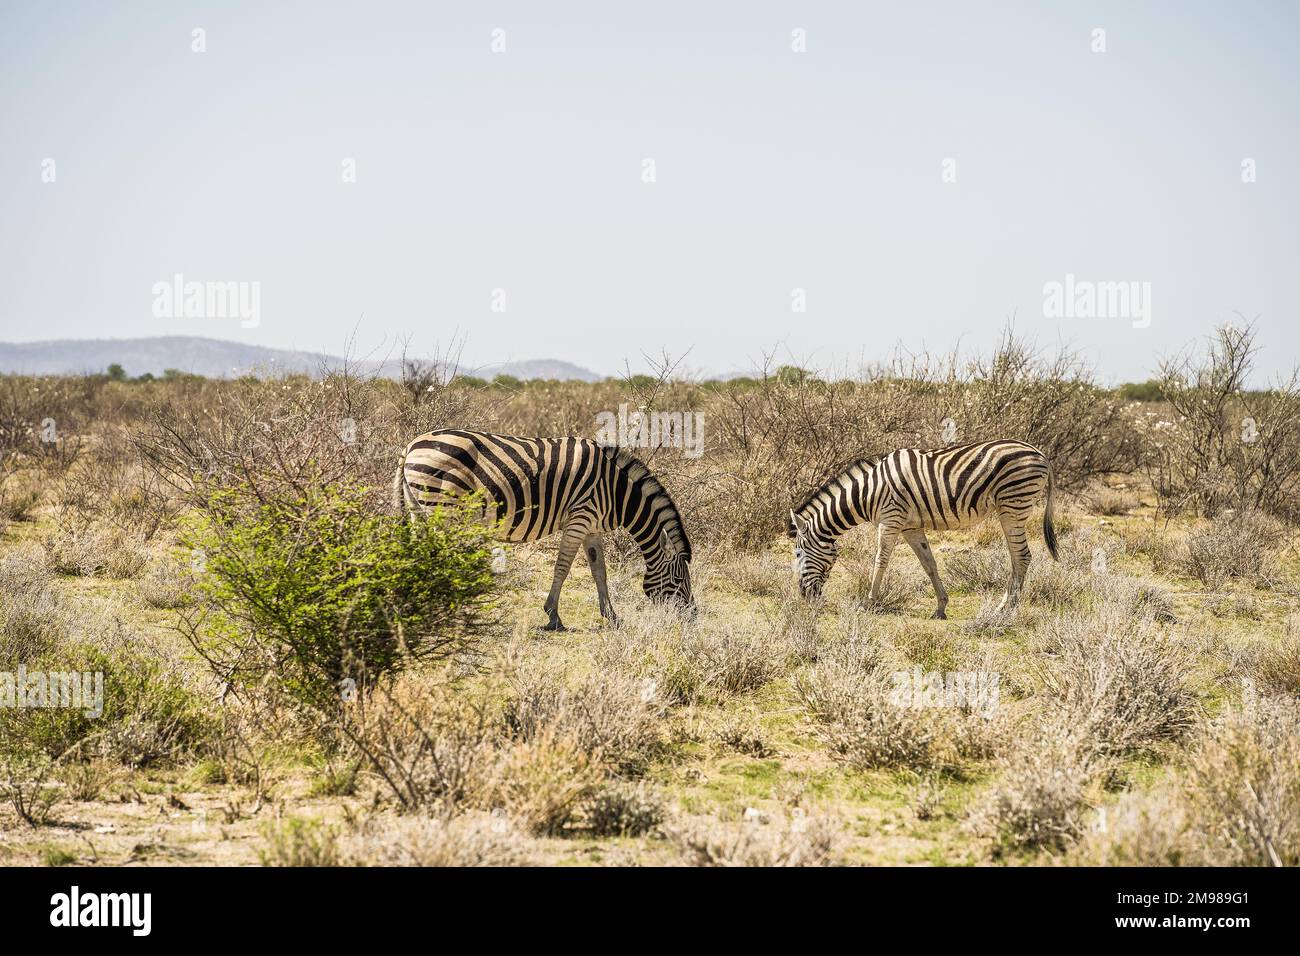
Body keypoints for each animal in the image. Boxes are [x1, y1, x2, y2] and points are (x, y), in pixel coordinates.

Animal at [394, 429, 693, 630]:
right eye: (679, 580)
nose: (693, 617)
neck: (616, 490)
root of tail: (410, 446)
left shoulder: (591, 527)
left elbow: (599, 571)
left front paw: (611, 616)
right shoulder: (579, 518)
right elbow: (563, 568)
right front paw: (553, 616)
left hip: (419, 509)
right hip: (441, 508)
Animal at [788, 439, 1058, 618]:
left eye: (798, 553)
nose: (804, 596)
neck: (867, 493)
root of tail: (1040, 453)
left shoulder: (890, 519)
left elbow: (880, 561)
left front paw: (868, 603)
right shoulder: (911, 527)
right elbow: (929, 564)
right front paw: (941, 606)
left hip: (1013, 505)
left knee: (1021, 556)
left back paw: (1006, 608)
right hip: (1013, 506)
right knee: (1017, 557)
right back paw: (1008, 605)